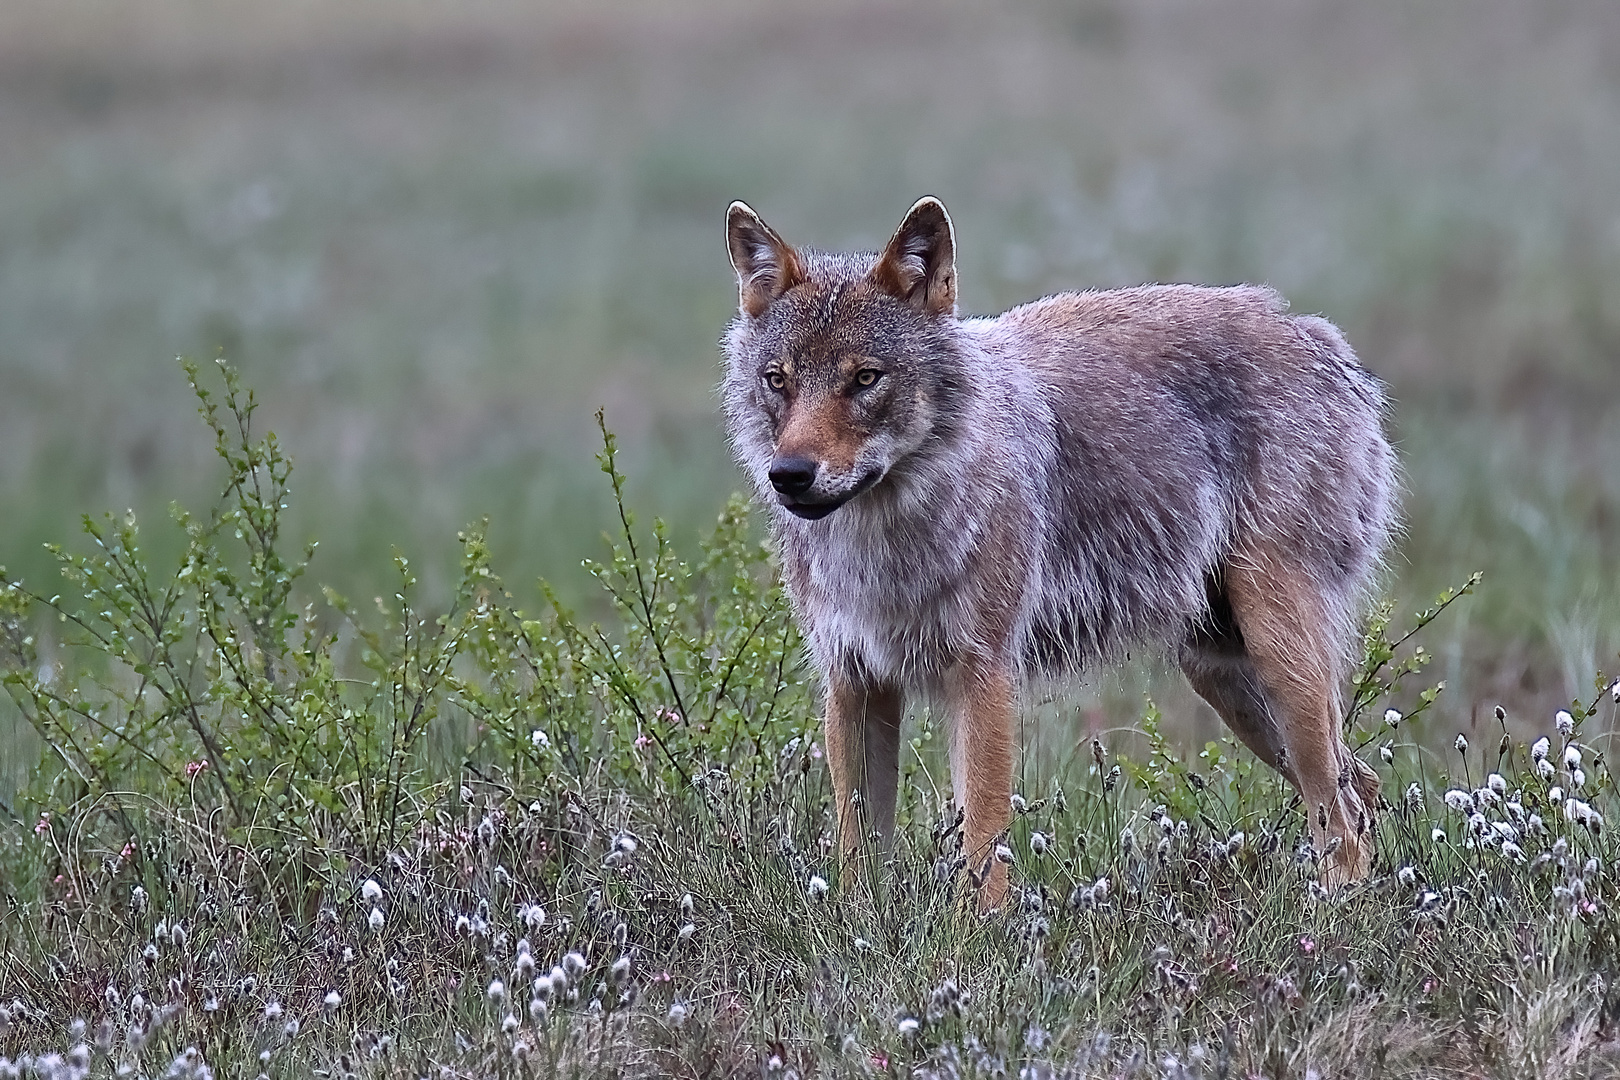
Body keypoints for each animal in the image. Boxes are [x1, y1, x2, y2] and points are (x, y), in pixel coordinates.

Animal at [721, 196, 1397, 910]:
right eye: (777, 381)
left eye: (865, 379)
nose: (790, 475)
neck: (881, 546)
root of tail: (1315, 335)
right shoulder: (853, 678)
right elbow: (856, 842)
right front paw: (858, 918)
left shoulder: (983, 677)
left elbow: (984, 841)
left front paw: (978, 934)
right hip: (1226, 677)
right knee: (1363, 786)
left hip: (1278, 664)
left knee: (1343, 813)